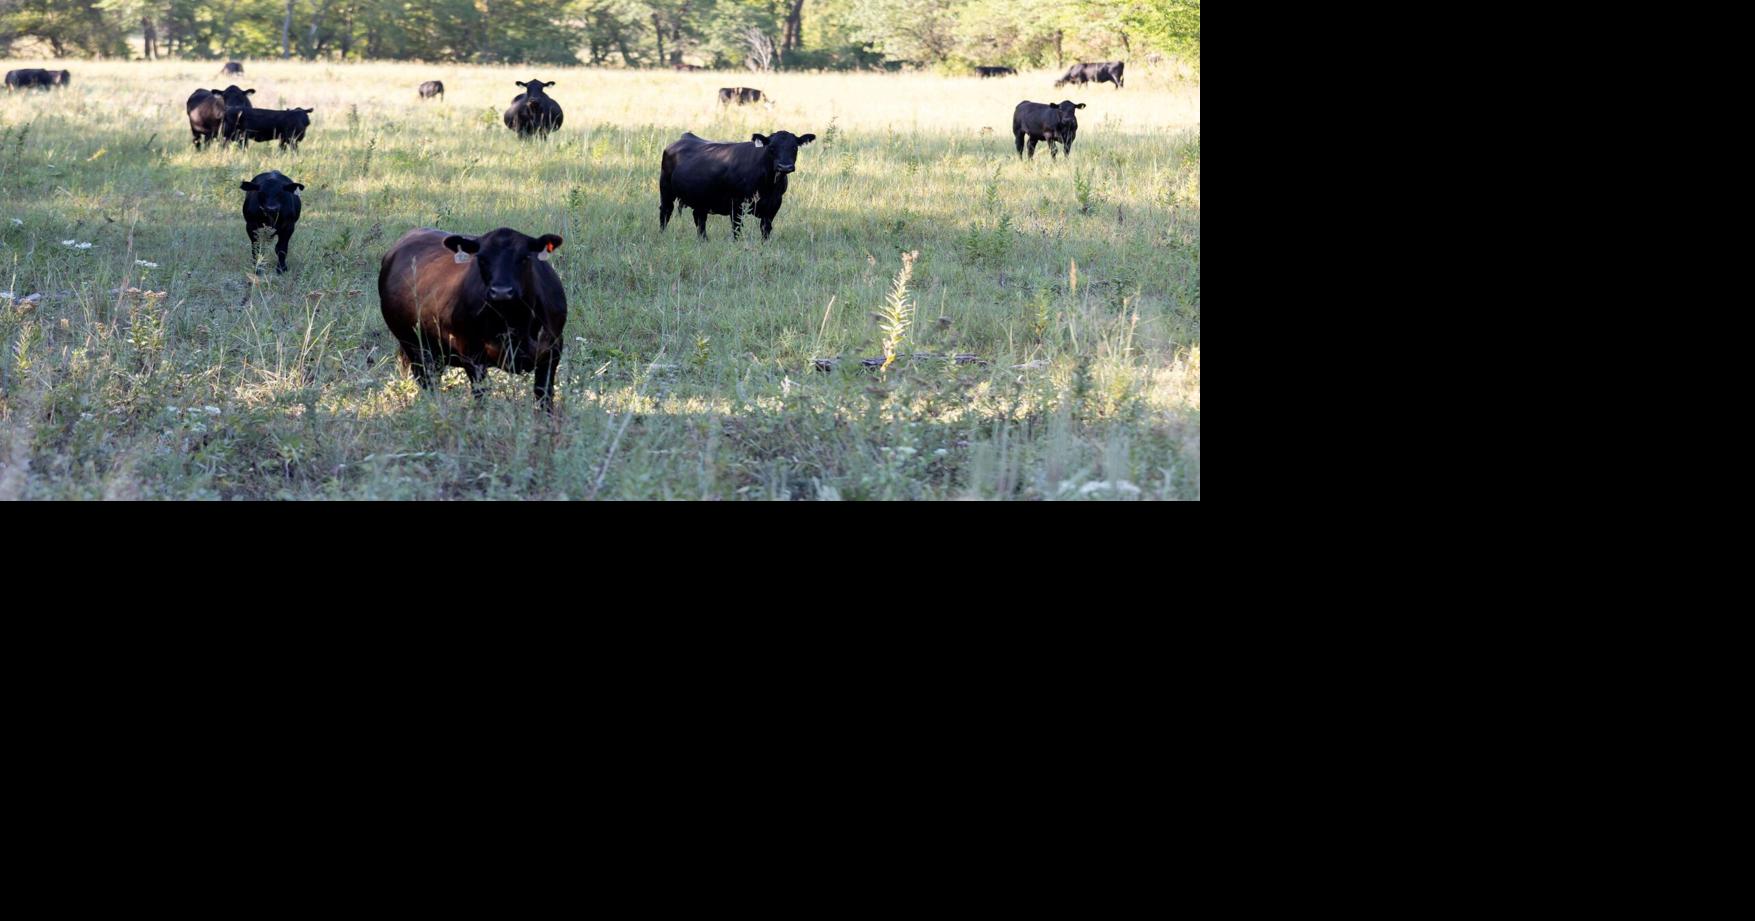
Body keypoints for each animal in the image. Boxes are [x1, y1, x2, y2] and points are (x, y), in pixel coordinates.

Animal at [377, 227, 568, 410]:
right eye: (482, 259)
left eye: (525, 257)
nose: (501, 292)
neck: (515, 322)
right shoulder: (471, 355)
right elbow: (481, 396)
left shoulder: (552, 350)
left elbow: (544, 396)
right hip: (414, 347)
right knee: (428, 383)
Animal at [659, 130, 815, 240]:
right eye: (771, 147)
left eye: (794, 147)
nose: (785, 166)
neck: (768, 185)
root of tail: (686, 137)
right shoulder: (737, 203)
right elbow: (737, 227)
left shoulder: (774, 204)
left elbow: (766, 229)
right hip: (666, 188)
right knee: (666, 211)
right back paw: (662, 235)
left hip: (701, 198)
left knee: (699, 218)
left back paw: (704, 240)